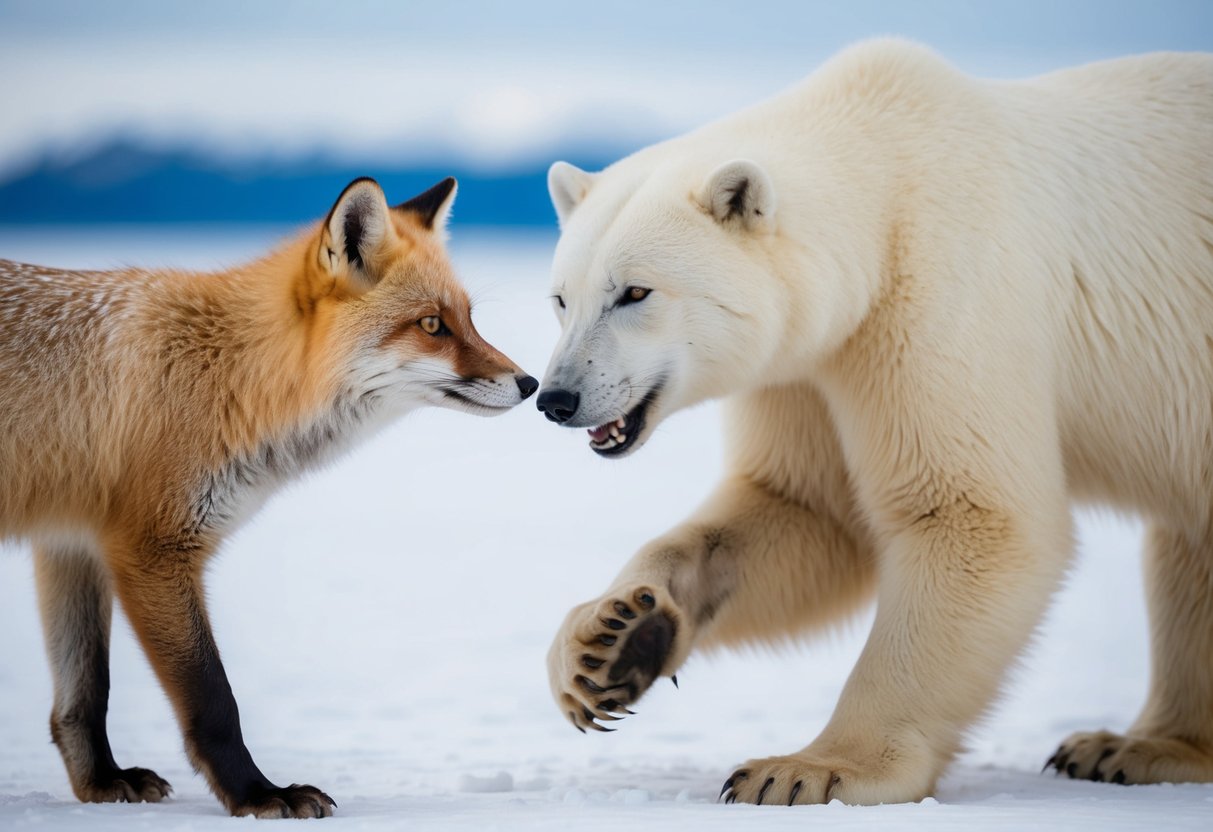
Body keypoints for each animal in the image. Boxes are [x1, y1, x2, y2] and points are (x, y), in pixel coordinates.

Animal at [0, 176, 537, 818]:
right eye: (432, 325)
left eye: (469, 319)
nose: (532, 384)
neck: (233, 375)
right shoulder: (151, 550)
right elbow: (215, 701)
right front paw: (257, 794)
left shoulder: (70, 542)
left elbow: (85, 695)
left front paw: (101, 784)